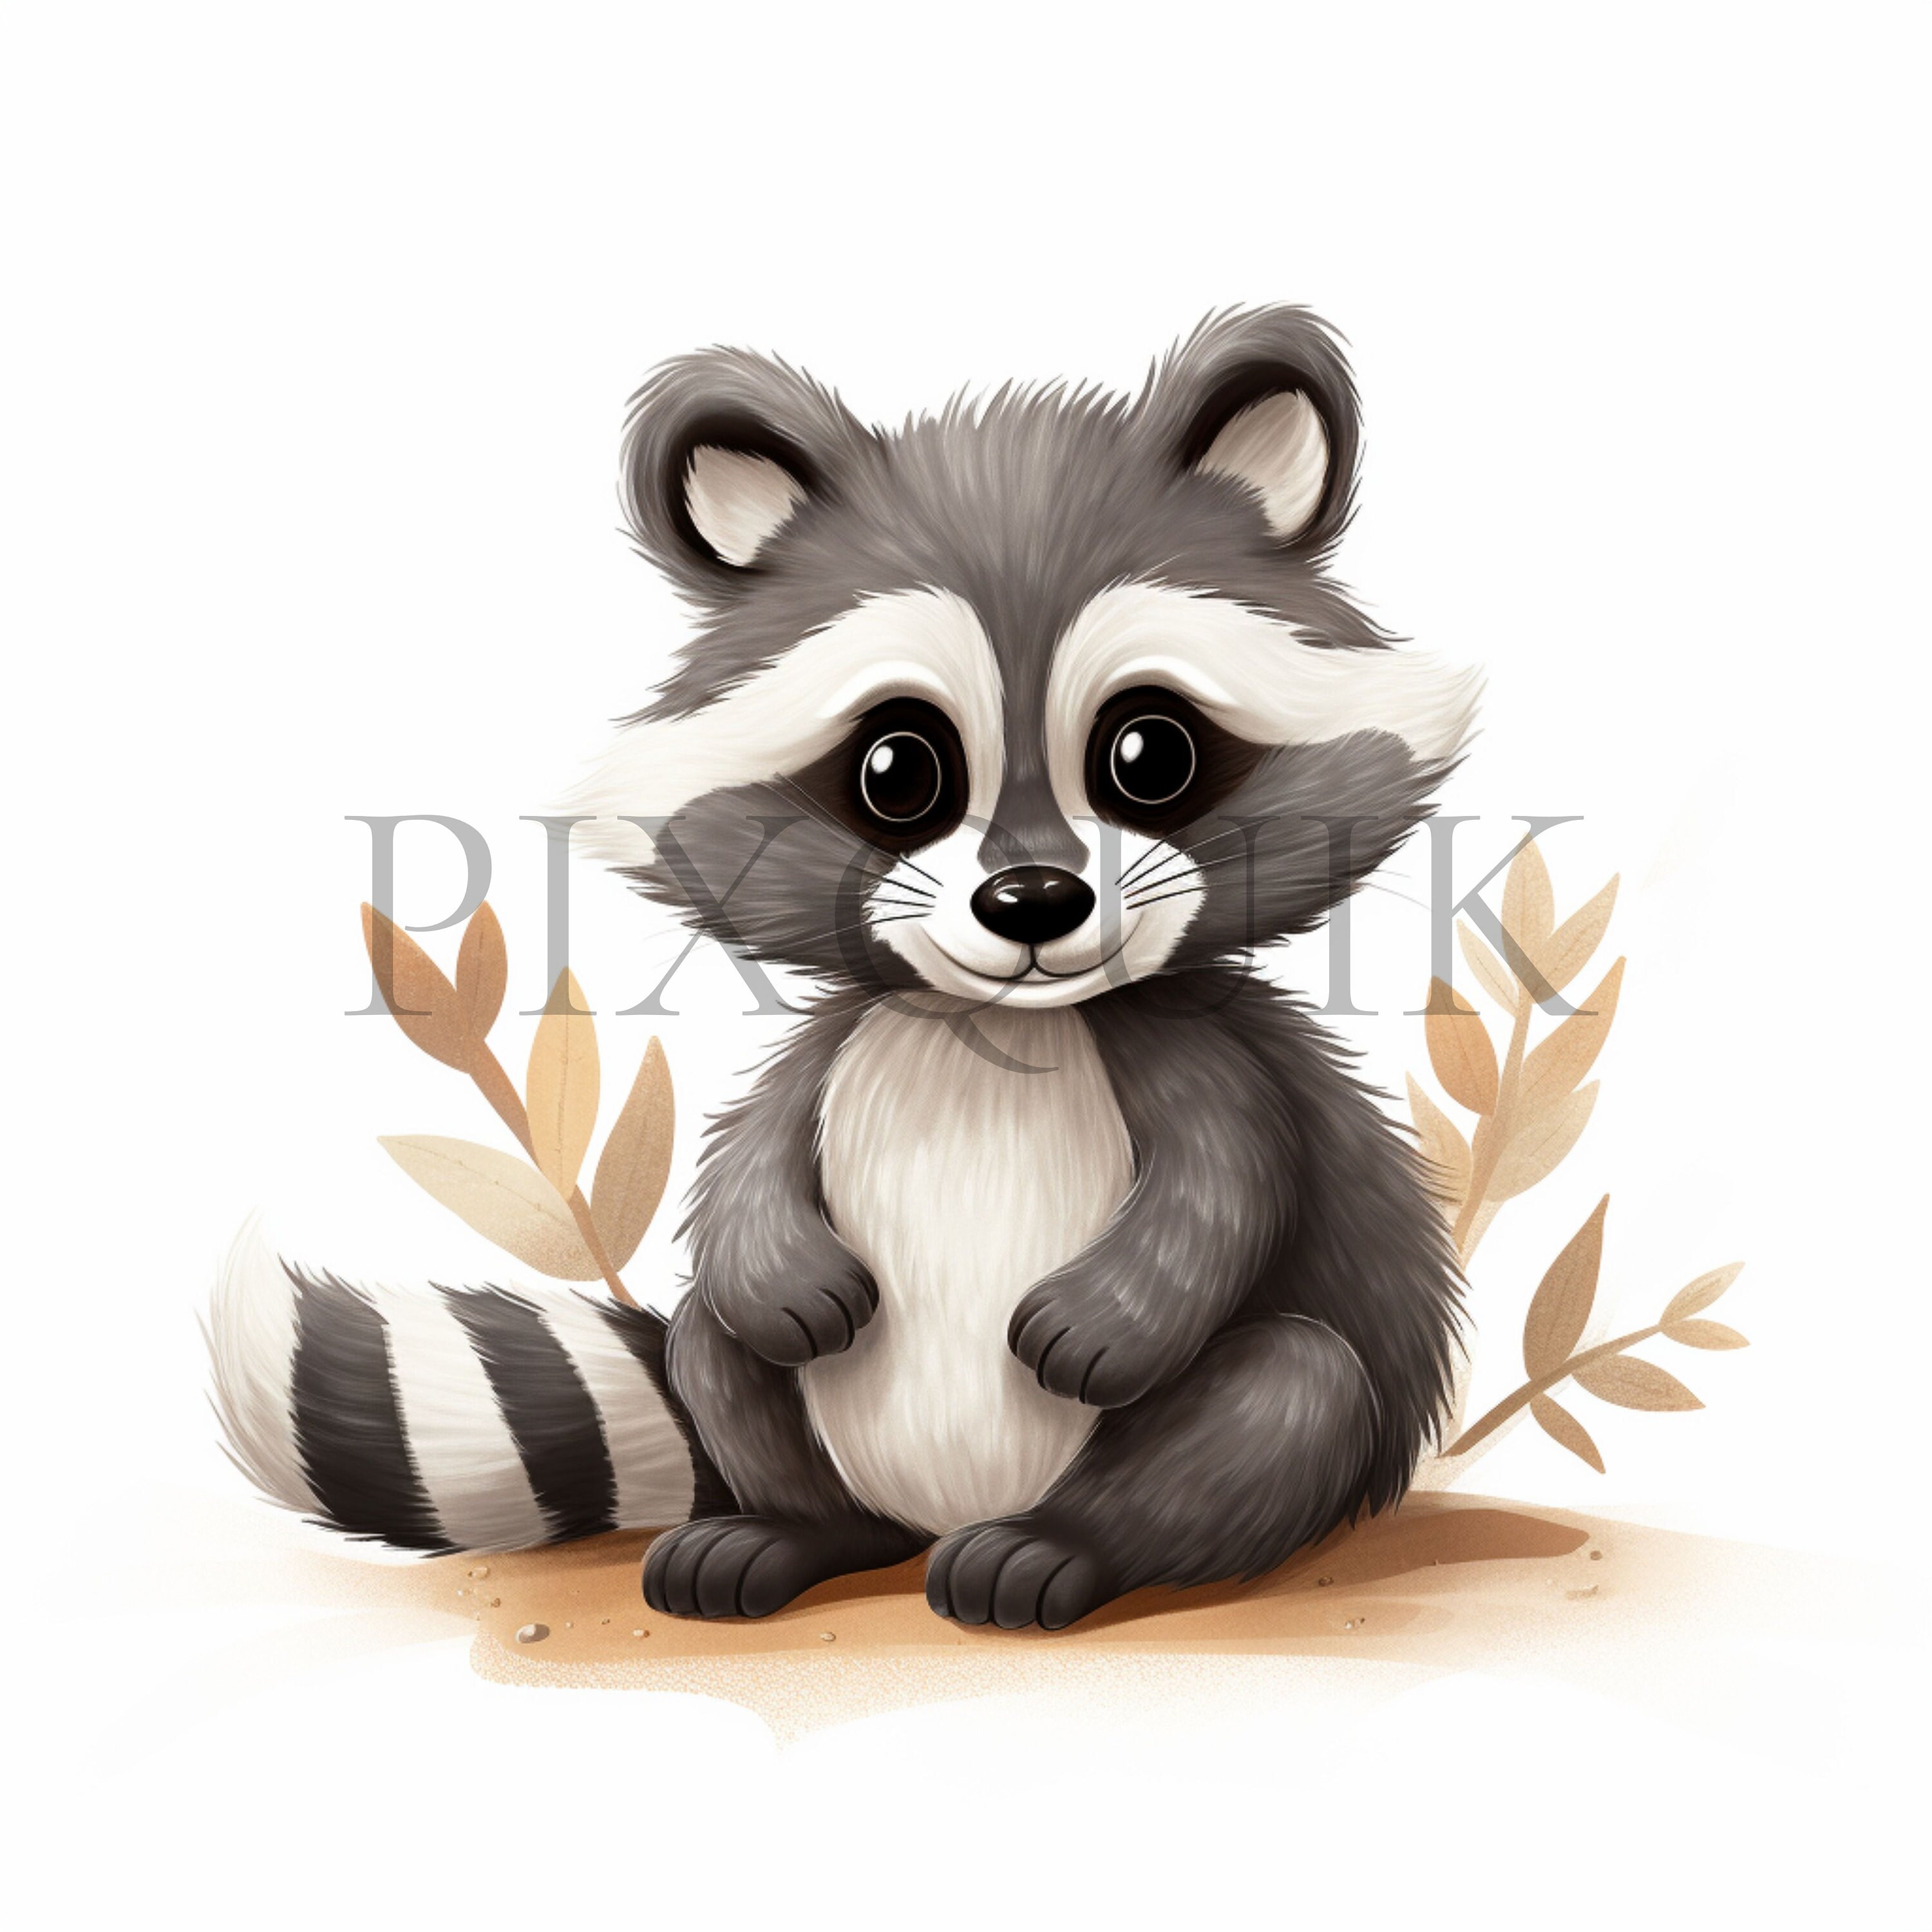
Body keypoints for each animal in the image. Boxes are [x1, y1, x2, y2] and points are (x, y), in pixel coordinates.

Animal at [211, 306, 1480, 1630]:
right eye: (898, 770)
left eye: (1151, 753)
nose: (1034, 902)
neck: (995, 1021)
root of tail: (932, 1521)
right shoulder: (836, 1047)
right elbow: (748, 1168)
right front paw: (772, 1265)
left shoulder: (1190, 1049)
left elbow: (1233, 1173)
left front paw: (1125, 1308)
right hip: (796, 1417)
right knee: (718, 1344)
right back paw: (793, 1529)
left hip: (1258, 1425)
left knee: (1287, 1393)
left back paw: (1066, 1543)